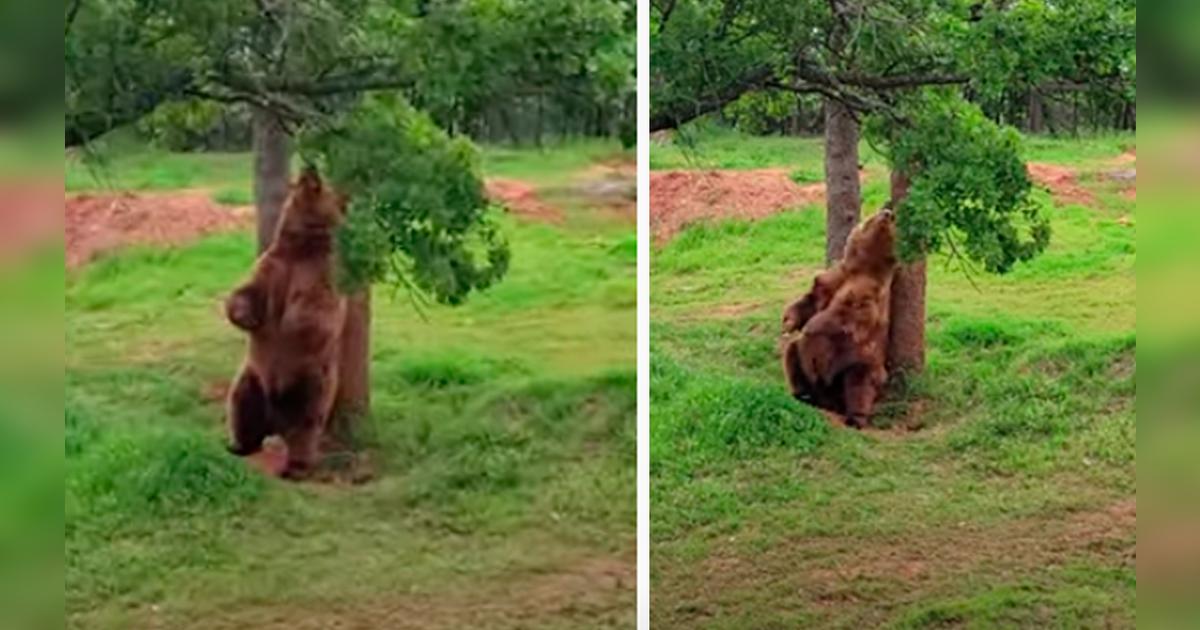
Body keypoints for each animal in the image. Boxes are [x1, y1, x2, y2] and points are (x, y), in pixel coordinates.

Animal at [224, 166, 348, 479]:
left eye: (323, 183)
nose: (310, 167)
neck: (301, 247)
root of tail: (275, 425)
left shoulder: (320, 273)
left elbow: (316, 310)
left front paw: (289, 325)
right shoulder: (272, 265)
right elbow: (248, 291)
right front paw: (246, 315)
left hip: (310, 387)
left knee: (306, 429)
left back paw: (295, 468)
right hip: (252, 379)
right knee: (241, 407)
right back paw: (238, 445)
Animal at [781, 206, 897, 428]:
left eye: (895, 219)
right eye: (874, 214)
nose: (887, 212)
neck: (862, 268)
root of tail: (829, 399)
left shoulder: (867, 295)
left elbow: (843, 316)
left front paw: (811, 326)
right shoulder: (833, 278)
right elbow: (811, 300)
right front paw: (788, 323)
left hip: (860, 364)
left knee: (859, 387)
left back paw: (855, 418)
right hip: (806, 365)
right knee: (792, 354)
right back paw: (802, 395)